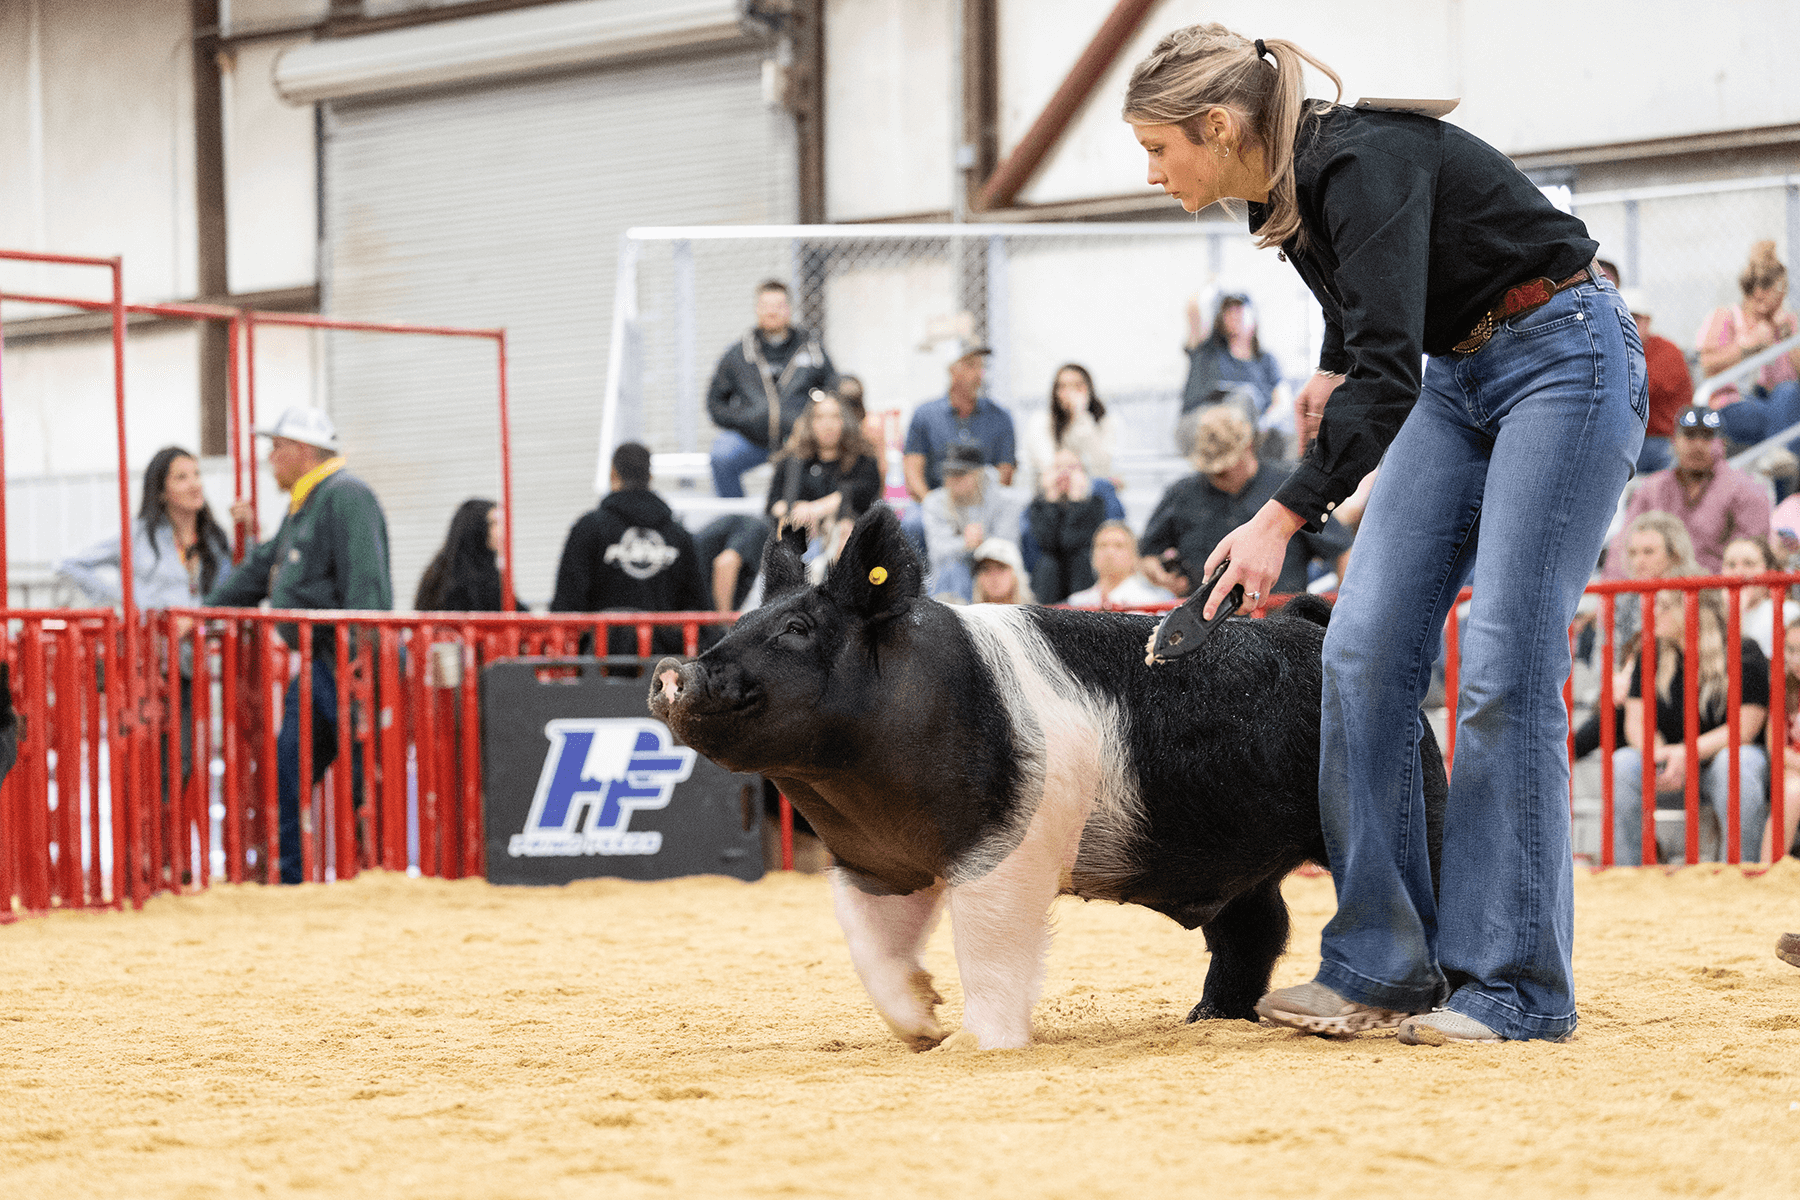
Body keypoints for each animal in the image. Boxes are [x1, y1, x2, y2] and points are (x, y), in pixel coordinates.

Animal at [649, 506, 1446, 1051]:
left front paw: (979, 1045)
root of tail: (1312, 622)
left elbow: (992, 951)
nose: (670, 669)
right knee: (1259, 926)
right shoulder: (875, 865)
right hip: (1235, 858)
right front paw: (923, 1027)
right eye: (743, 622)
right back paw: (1207, 1021)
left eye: (796, 632)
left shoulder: (1009, 854)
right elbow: (873, 953)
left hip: (1415, 806)